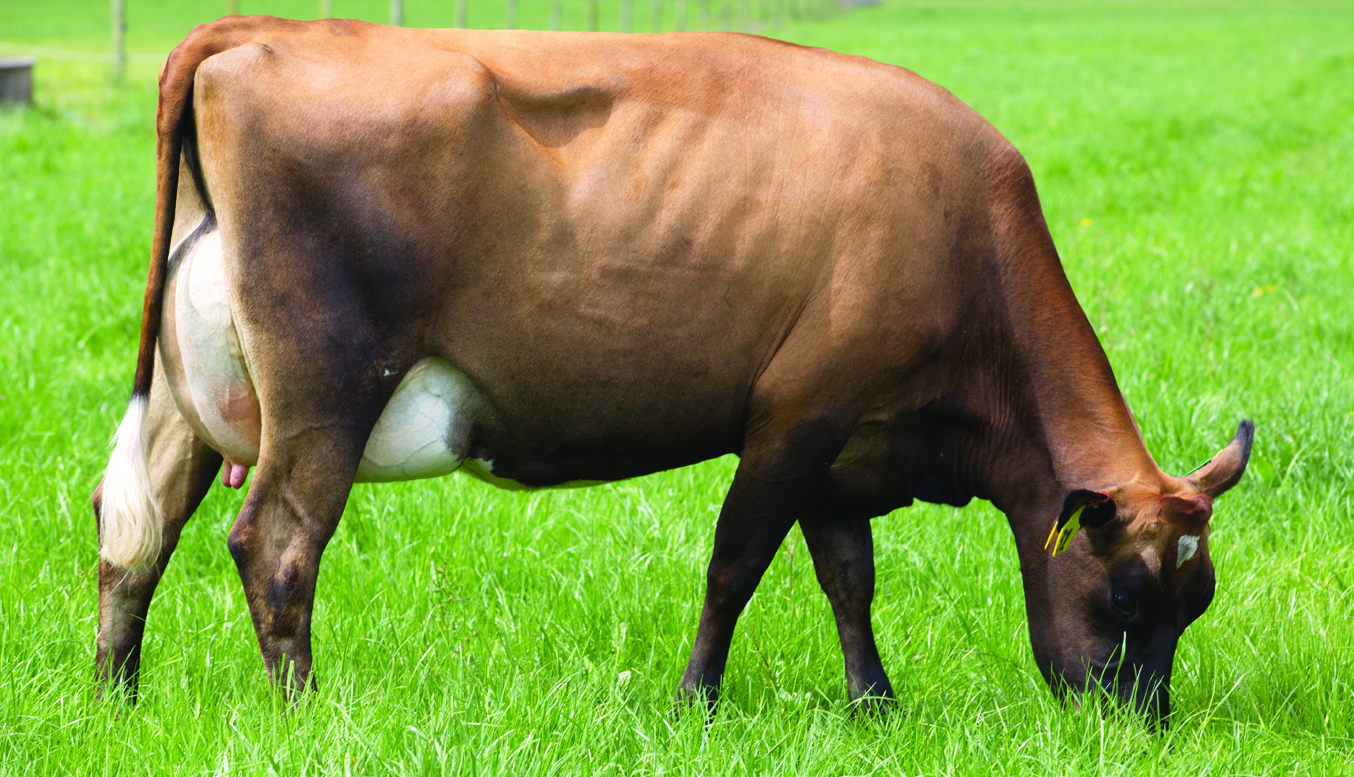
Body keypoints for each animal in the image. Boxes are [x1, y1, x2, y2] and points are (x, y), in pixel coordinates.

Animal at [93, 16, 1253, 725]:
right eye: (1122, 592)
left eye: (1194, 603)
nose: (1141, 722)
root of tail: (263, 29)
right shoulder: (797, 414)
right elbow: (736, 564)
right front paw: (698, 699)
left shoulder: (849, 437)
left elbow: (849, 577)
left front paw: (874, 705)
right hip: (326, 387)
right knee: (276, 542)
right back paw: (303, 709)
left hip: (193, 396)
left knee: (132, 527)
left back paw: (116, 697)